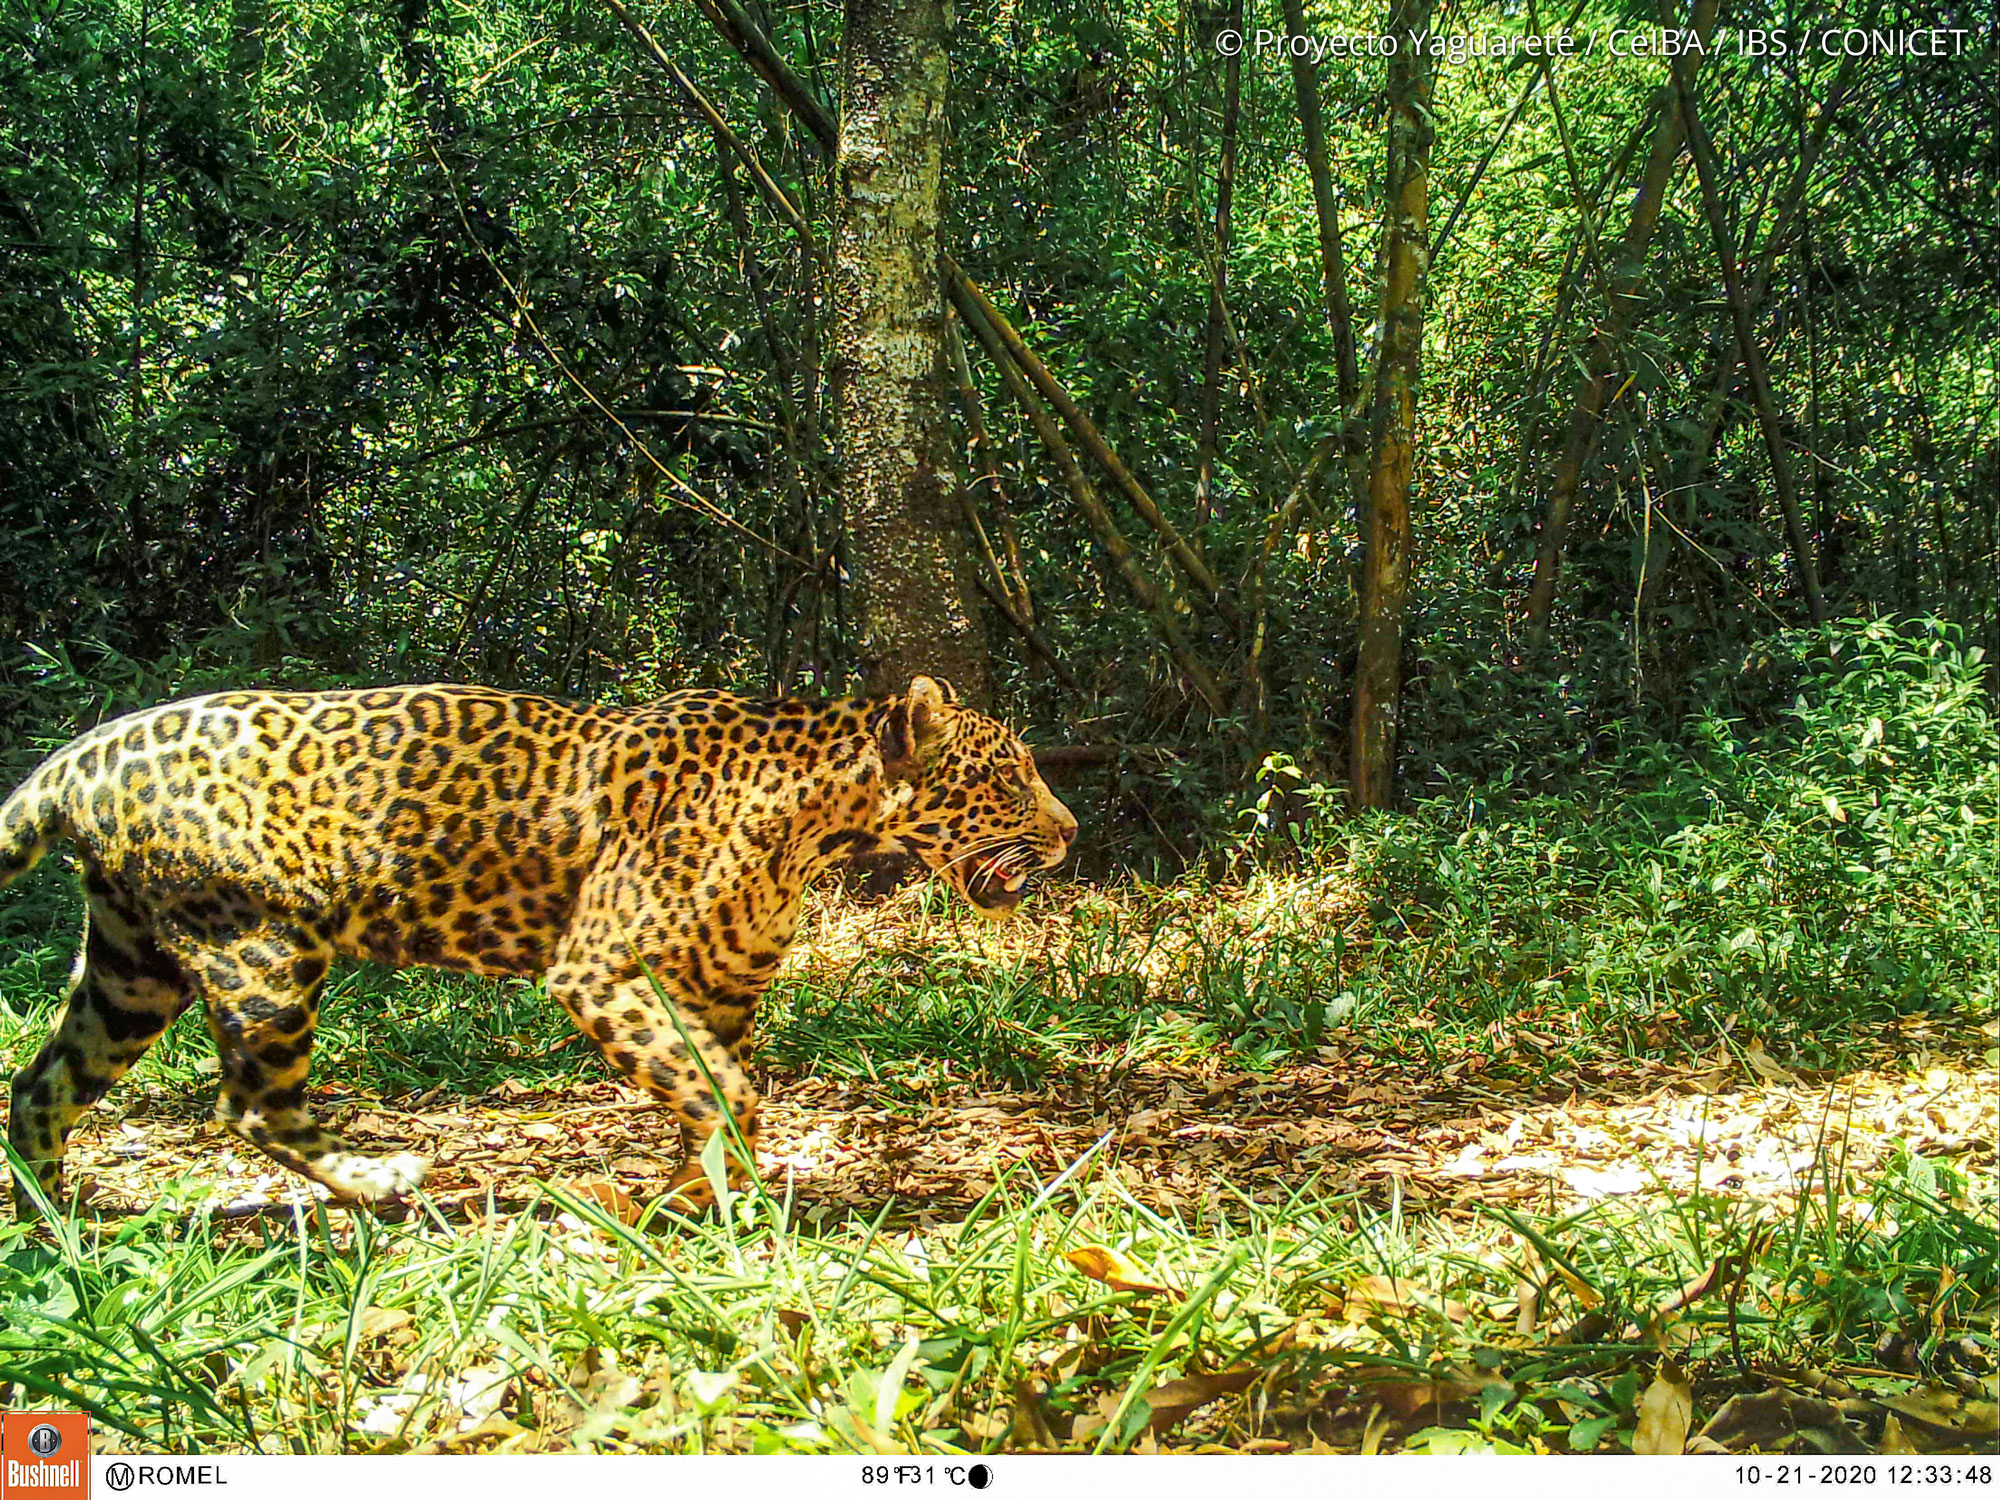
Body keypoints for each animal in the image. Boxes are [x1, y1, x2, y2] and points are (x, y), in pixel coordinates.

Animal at [0, 674, 1075, 1213]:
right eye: (1012, 775)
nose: (1070, 833)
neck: (820, 818)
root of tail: (78, 756)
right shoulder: (603, 965)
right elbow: (726, 1092)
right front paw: (693, 1204)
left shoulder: (724, 988)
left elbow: (711, 1092)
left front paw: (684, 1195)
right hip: (261, 946)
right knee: (252, 1105)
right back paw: (383, 1179)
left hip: (133, 968)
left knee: (41, 1086)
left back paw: (58, 1240)